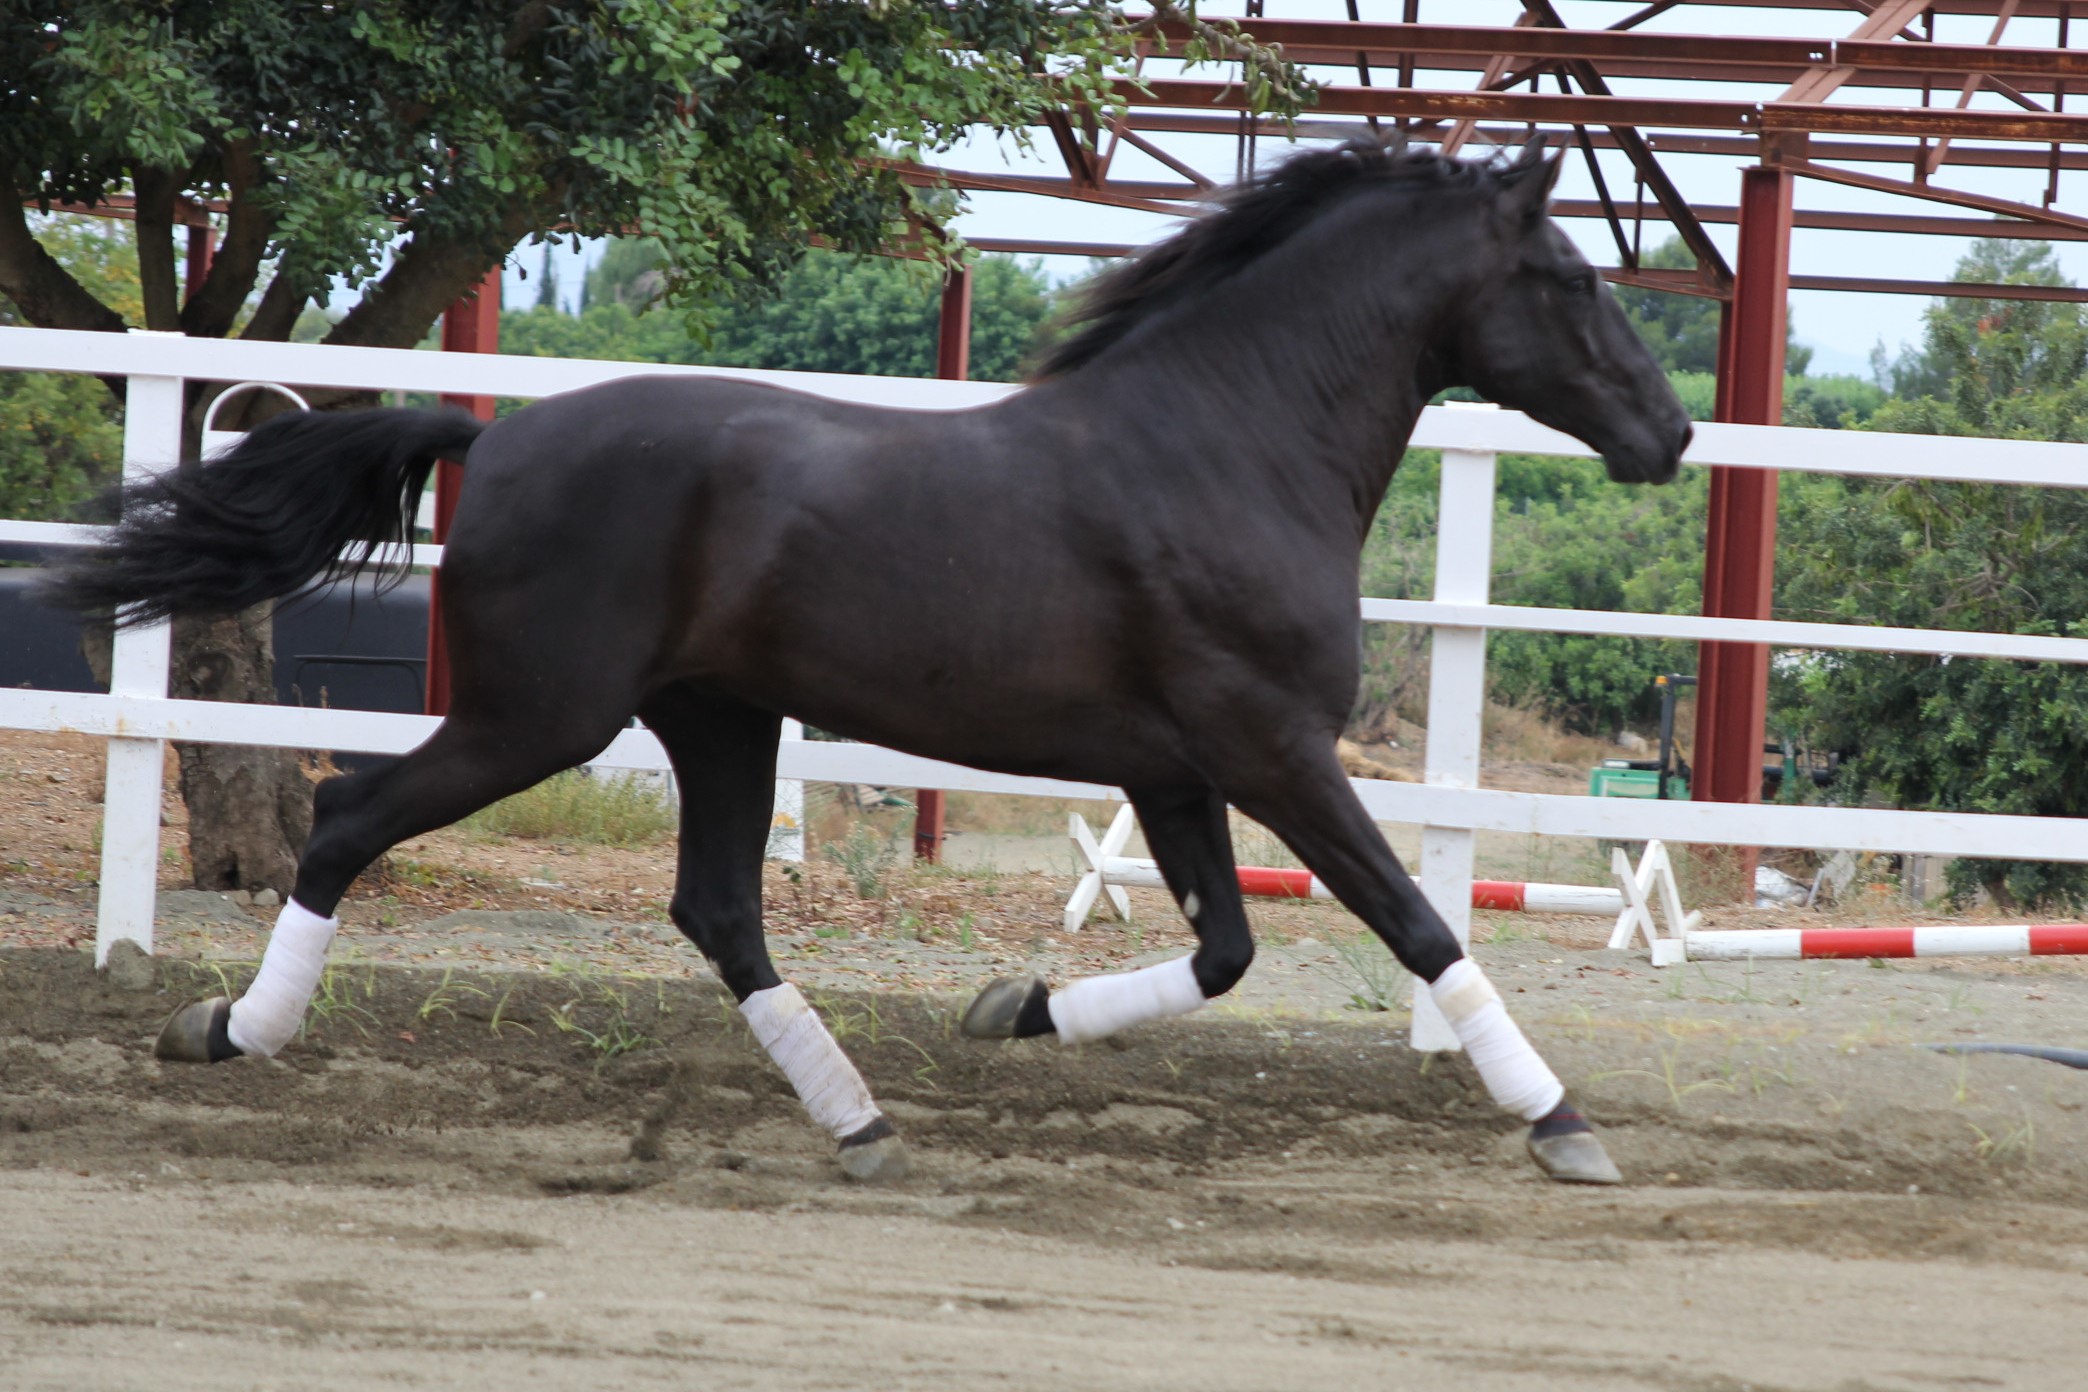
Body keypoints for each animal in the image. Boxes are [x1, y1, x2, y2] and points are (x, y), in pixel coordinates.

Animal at [50, 138, 1692, 1187]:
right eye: (1569, 275)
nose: (1669, 433)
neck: (1224, 446)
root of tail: (493, 440)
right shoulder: (1274, 752)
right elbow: (1420, 924)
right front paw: (1566, 1129)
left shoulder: (1177, 773)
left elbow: (1226, 953)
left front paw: (1015, 1010)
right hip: (543, 715)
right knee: (344, 820)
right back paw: (226, 1031)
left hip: (715, 720)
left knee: (717, 910)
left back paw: (861, 1125)